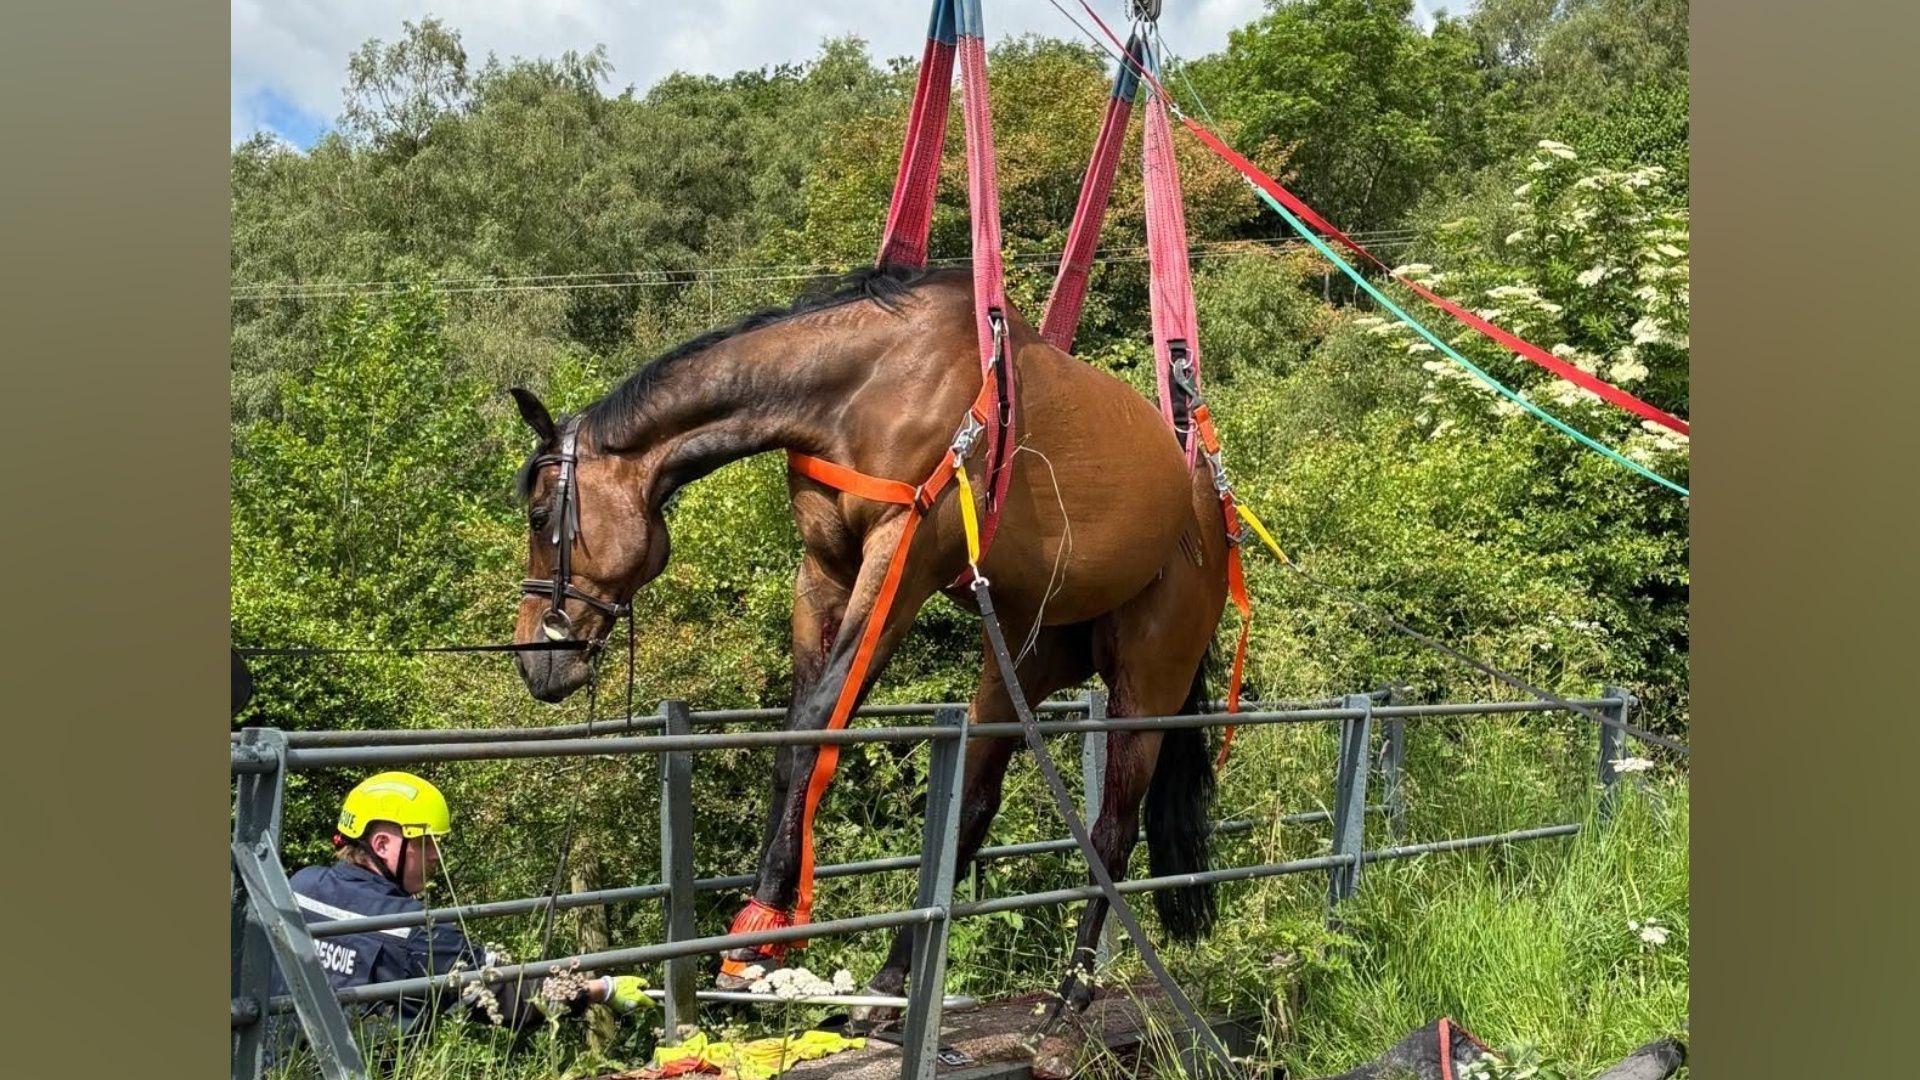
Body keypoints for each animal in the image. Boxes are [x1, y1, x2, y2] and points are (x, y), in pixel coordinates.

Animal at [507, 264, 1229, 1054]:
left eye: (540, 517)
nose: (534, 657)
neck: (869, 386)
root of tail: (1201, 499)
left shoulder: (899, 564)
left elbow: (824, 719)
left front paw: (761, 929)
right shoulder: (823, 573)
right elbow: (799, 730)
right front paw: (763, 933)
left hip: (1148, 682)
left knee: (1112, 831)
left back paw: (1070, 995)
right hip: (1022, 656)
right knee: (973, 805)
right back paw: (887, 988)